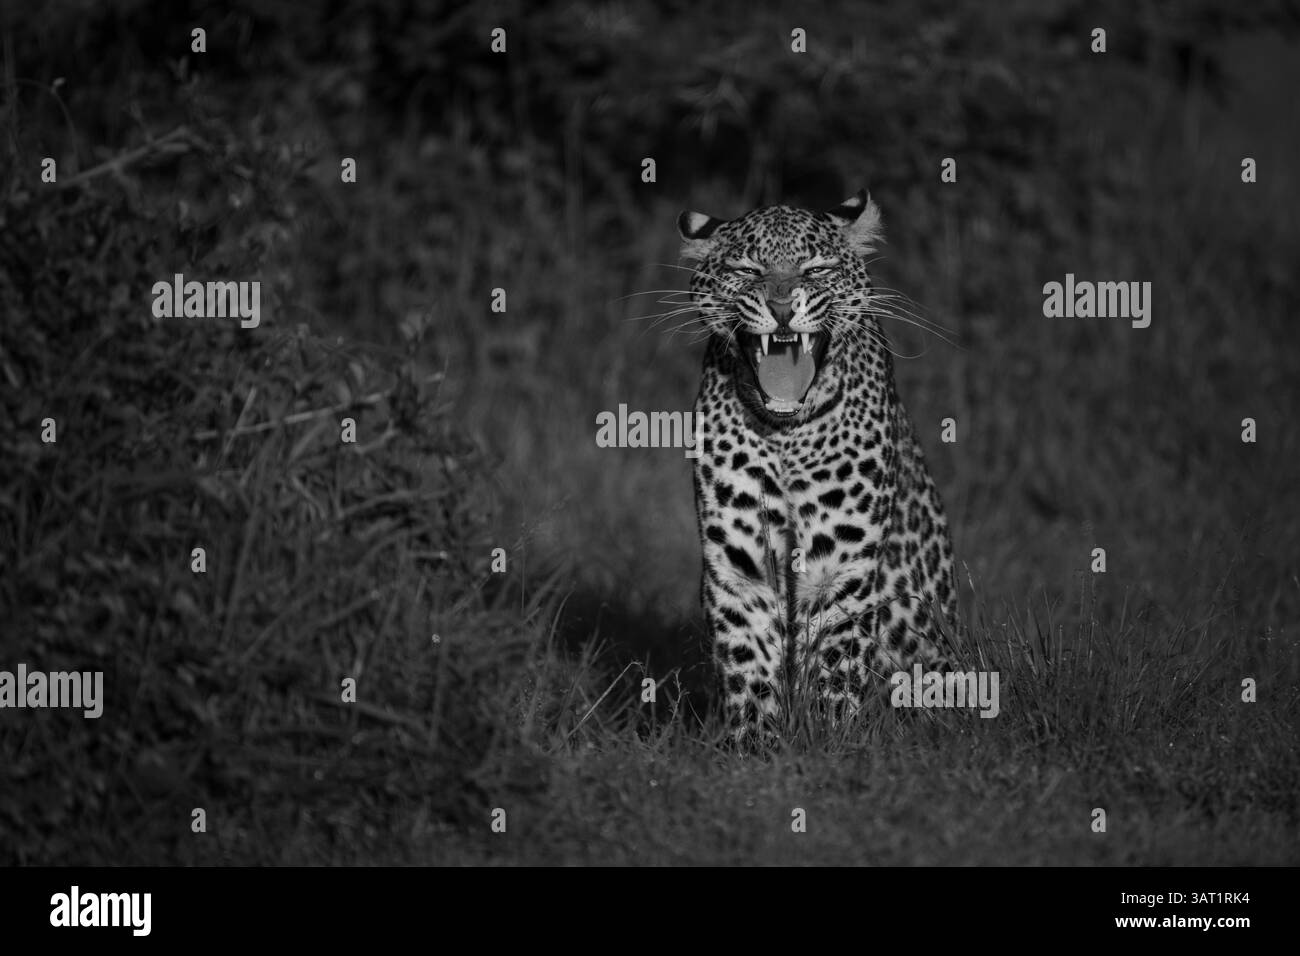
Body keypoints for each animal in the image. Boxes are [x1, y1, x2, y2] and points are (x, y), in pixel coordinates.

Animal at [677, 189, 958, 736]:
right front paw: (755, 741)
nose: (782, 305)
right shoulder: (739, 566)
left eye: (817, 268)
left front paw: (826, 736)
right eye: (747, 269)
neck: (786, 432)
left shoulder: (839, 564)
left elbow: (833, 661)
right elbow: (748, 659)